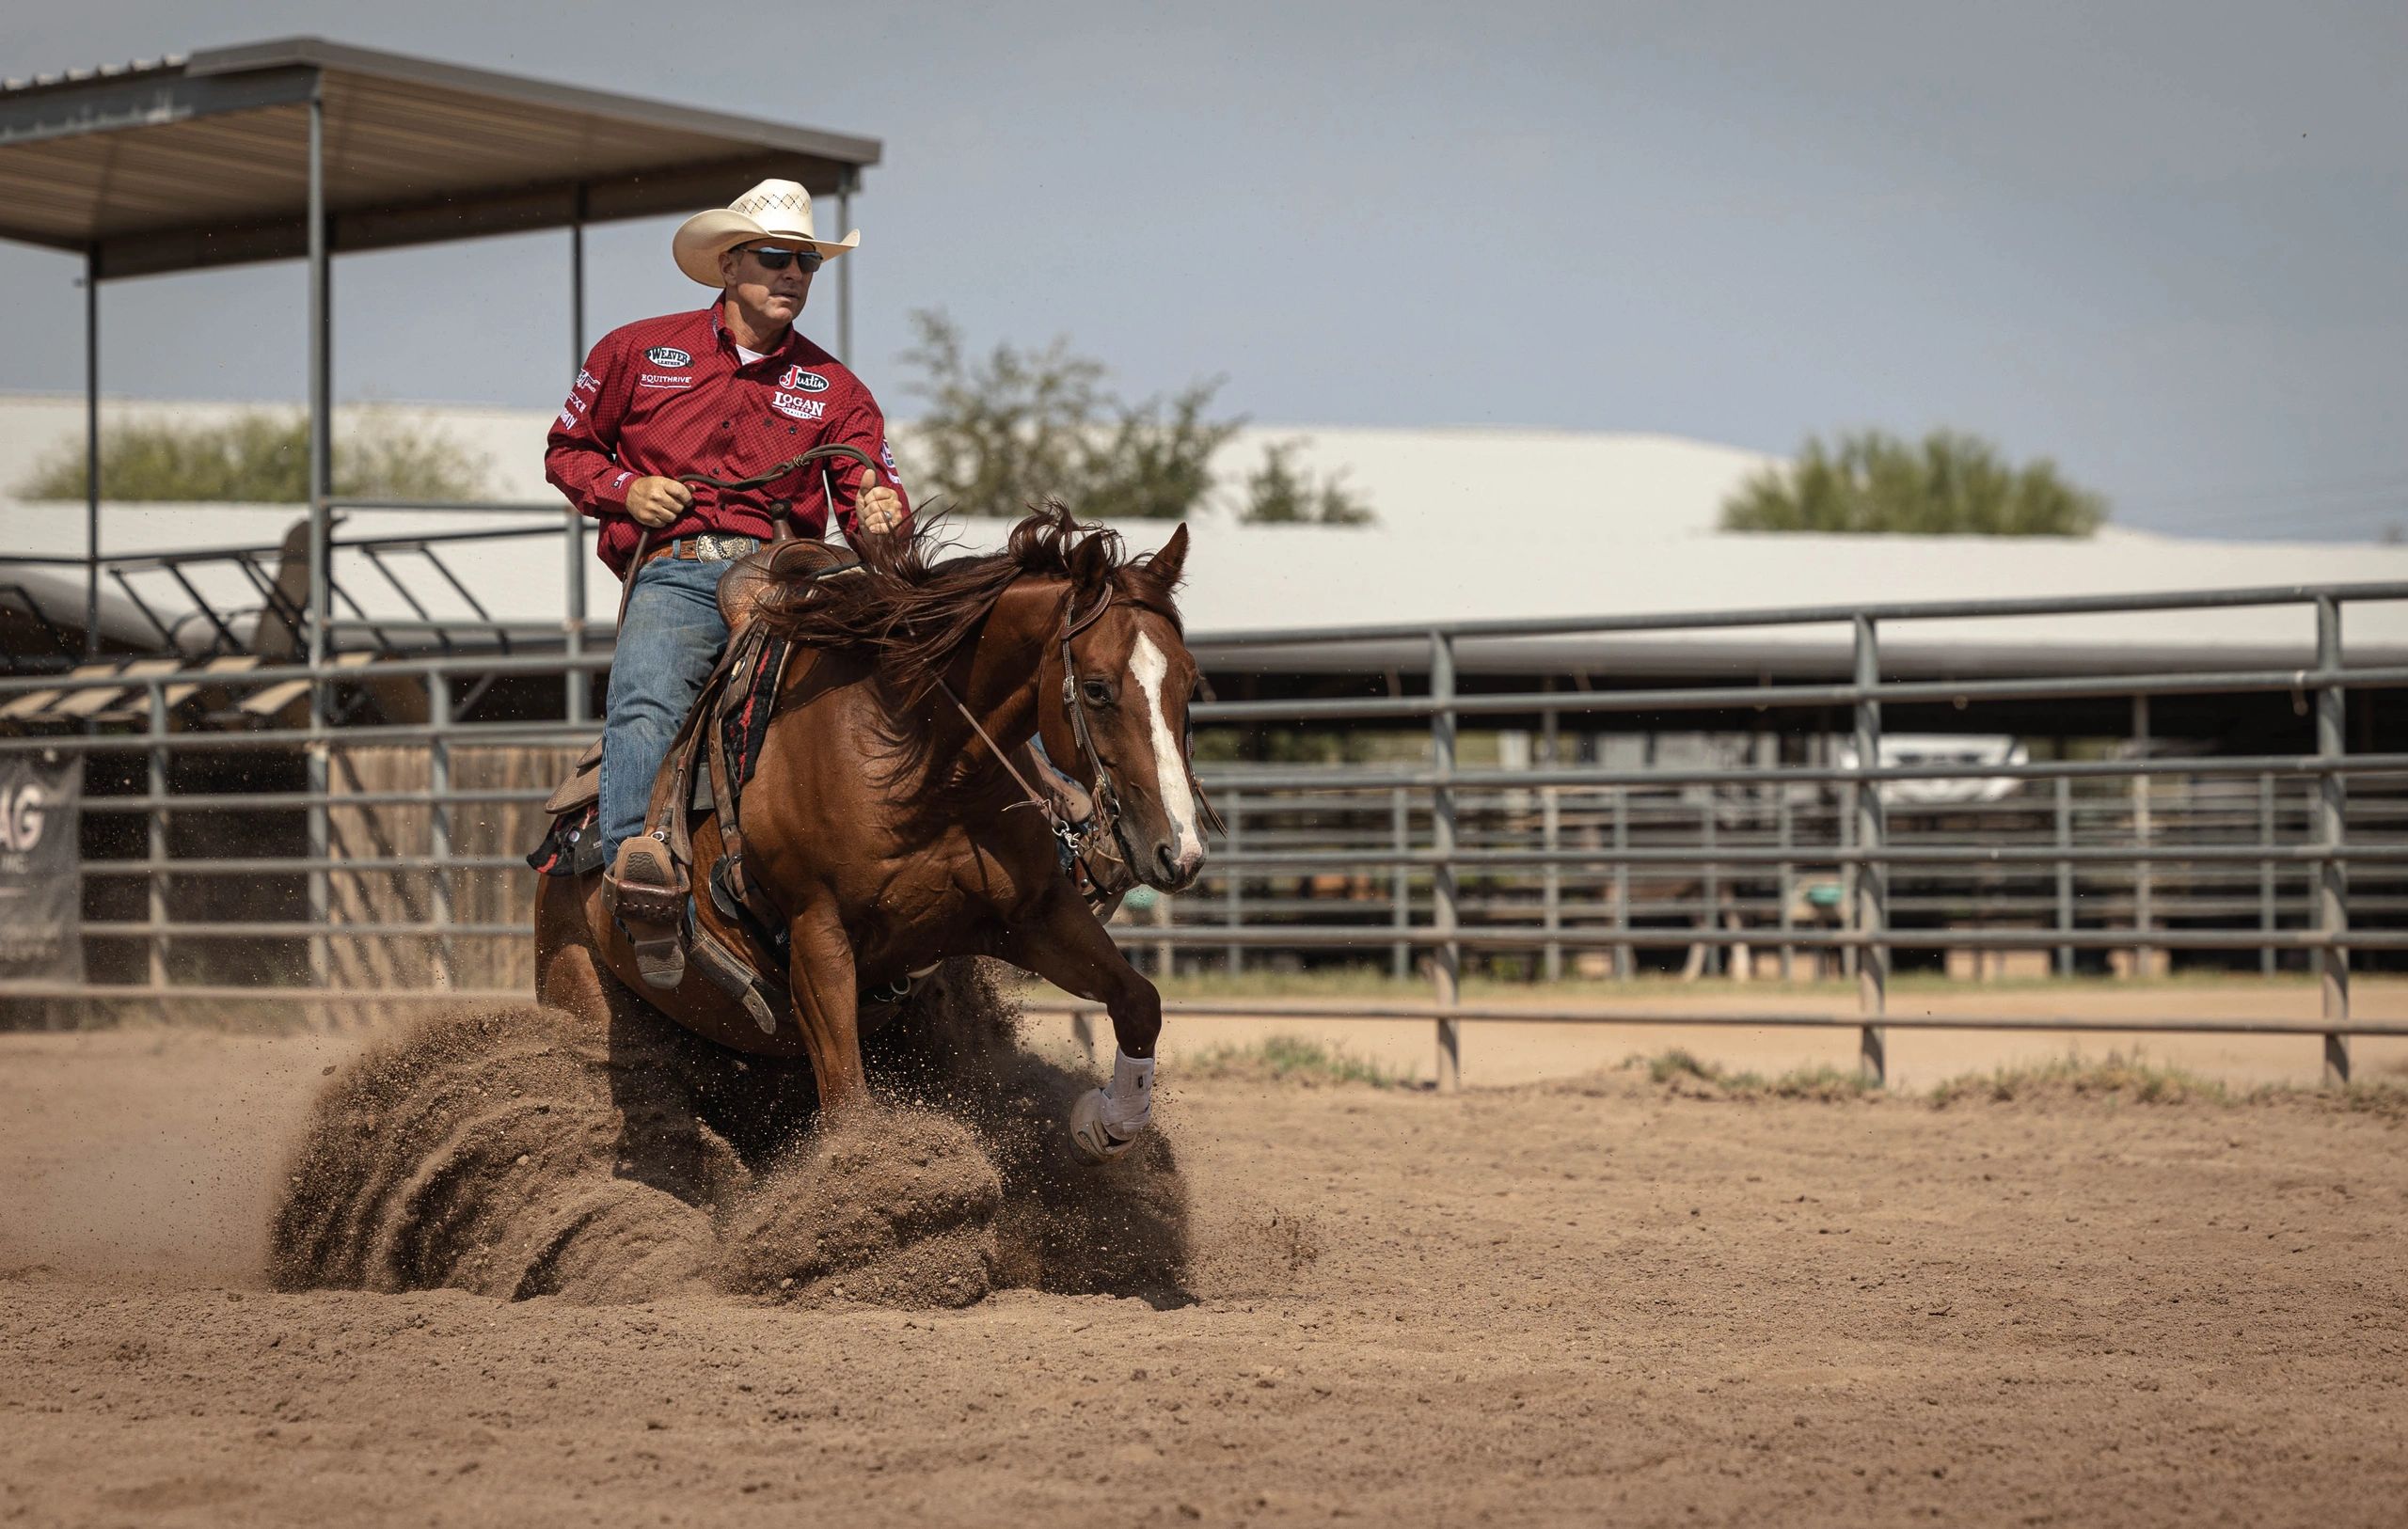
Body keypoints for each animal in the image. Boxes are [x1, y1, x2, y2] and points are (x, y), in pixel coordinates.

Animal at [535, 505, 1210, 1162]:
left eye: (1189, 682)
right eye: (1096, 689)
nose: (1180, 852)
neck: (920, 765)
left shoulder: (1032, 914)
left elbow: (1138, 1001)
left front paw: (1108, 1122)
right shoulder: (817, 936)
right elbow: (850, 1107)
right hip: (579, 988)